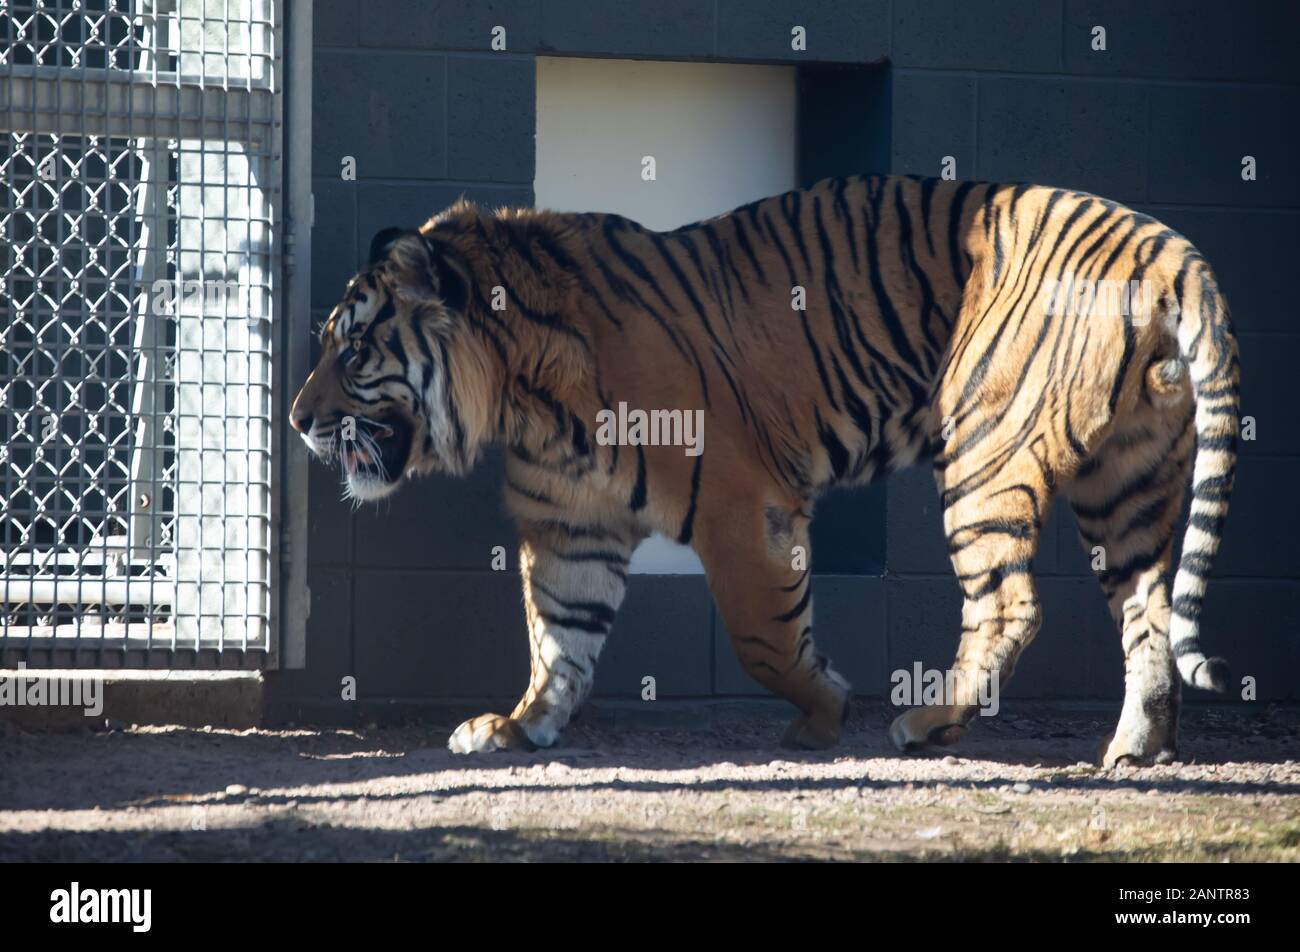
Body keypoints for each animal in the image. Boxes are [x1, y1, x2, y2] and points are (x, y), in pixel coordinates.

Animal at [290, 174, 1239, 766]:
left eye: (355, 348)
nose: (298, 420)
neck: (523, 394)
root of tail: (1165, 245)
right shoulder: (570, 525)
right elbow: (558, 636)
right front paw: (521, 726)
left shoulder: (740, 503)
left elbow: (762, 639)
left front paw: (823, 713)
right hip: (1128, 480)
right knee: (1148, 609)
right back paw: (1138, 748)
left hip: (986, 442)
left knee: (1010, 604)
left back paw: (929, 722)